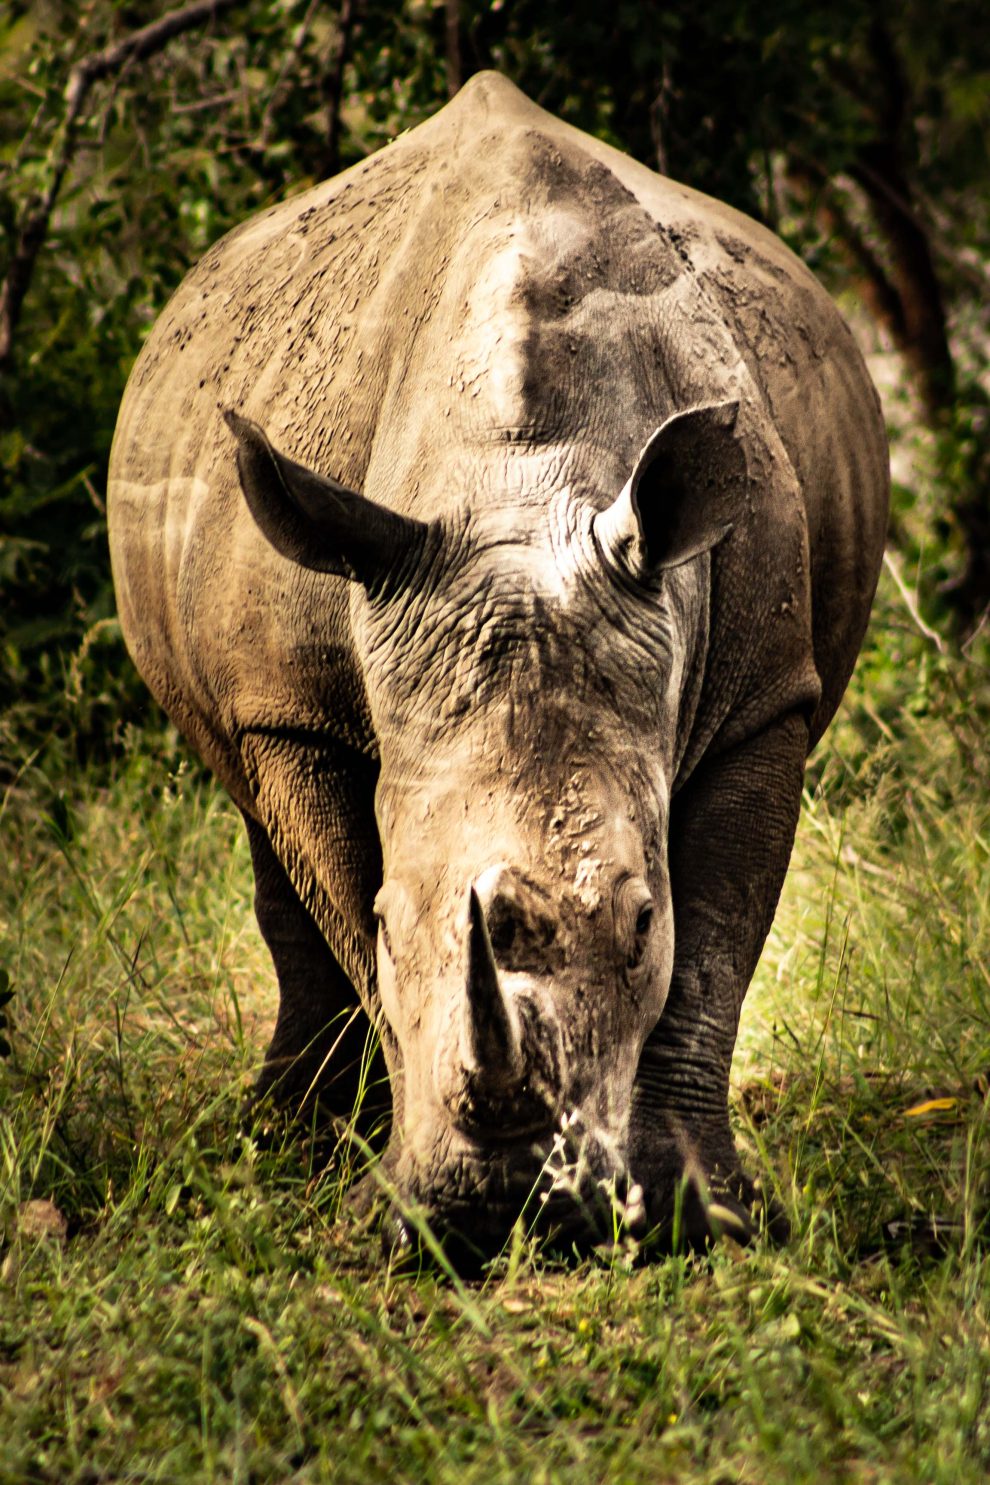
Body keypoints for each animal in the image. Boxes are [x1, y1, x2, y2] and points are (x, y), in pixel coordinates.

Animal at [108, 72, 888, 1258]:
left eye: (640, 918)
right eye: (394, 917)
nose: (503, 1205)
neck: (518, 480)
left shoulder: (767, 698)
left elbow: (715, 948)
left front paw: (703, 1212)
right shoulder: (292, 704)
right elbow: (348, 911)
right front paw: (390, 1201)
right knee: (261, 820)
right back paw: (281, 1139)